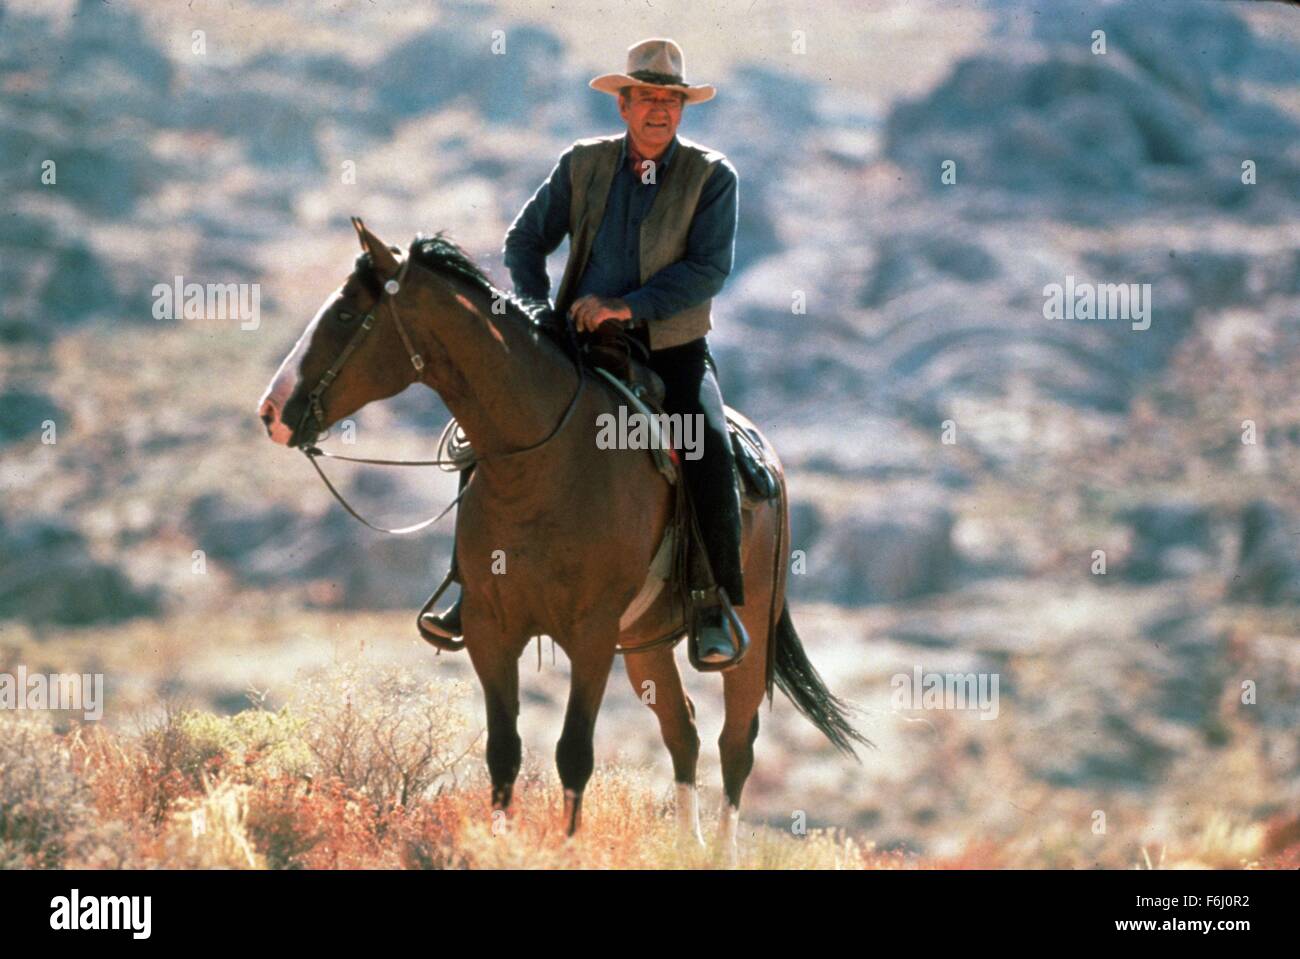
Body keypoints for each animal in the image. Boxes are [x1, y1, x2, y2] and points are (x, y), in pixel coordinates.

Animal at [257, 218, 870, 857]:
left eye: (346, 314)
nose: (271, 412)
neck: (544, 461)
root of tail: (766, 460)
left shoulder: (591, 636)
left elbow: (574, 754)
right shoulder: (490, 629)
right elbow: (503, 752)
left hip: (742, 634)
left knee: (736, 742)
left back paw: (720, 852)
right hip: (645, 642)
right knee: (683, 729)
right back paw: (685, 845)